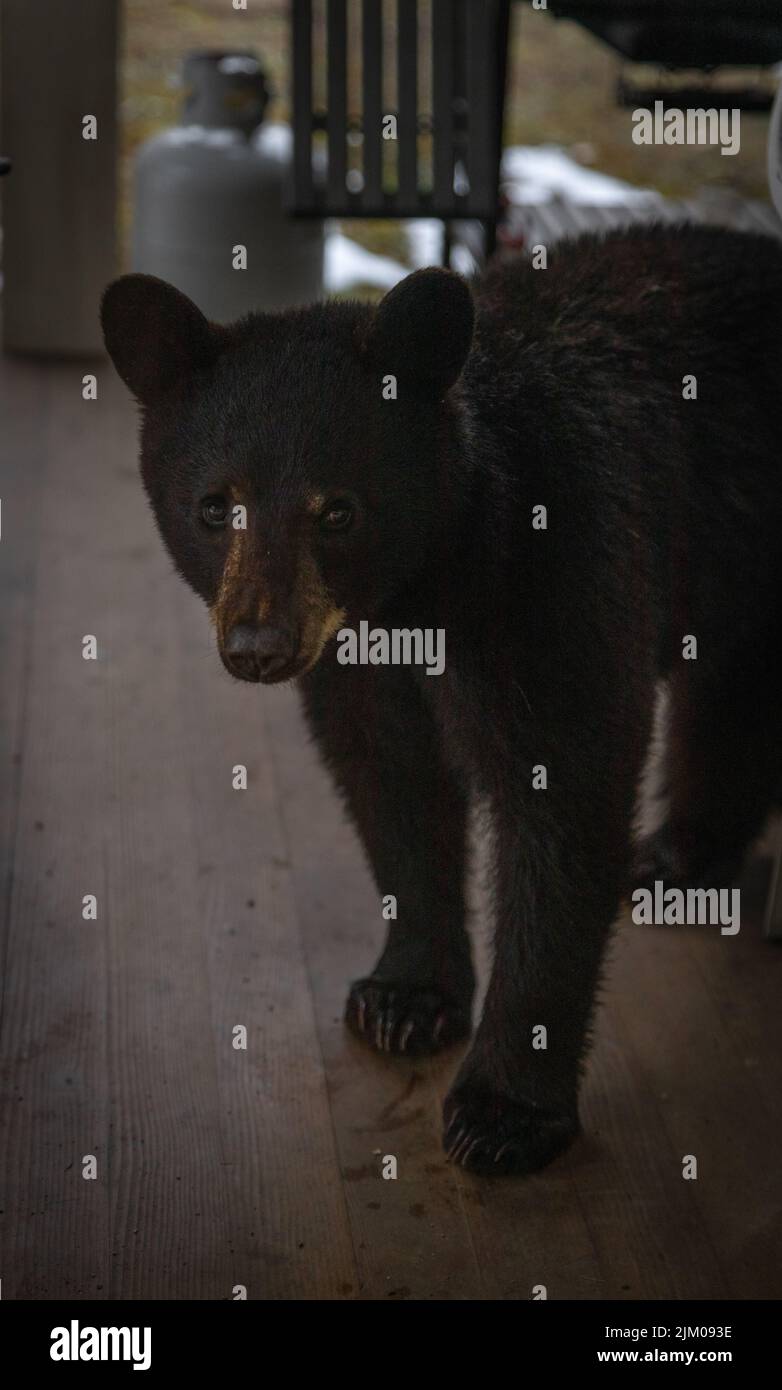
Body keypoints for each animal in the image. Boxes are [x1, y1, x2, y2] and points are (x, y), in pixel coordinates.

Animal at [101, 224, 782, 1176]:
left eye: (337, 511)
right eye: (214, 505)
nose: (258, 647)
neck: (422, 594)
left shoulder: (561, 570)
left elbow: (564, 796)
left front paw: (504, 1111)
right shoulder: (357, 658)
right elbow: (391, 781)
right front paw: (405, 997)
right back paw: (681, 857)